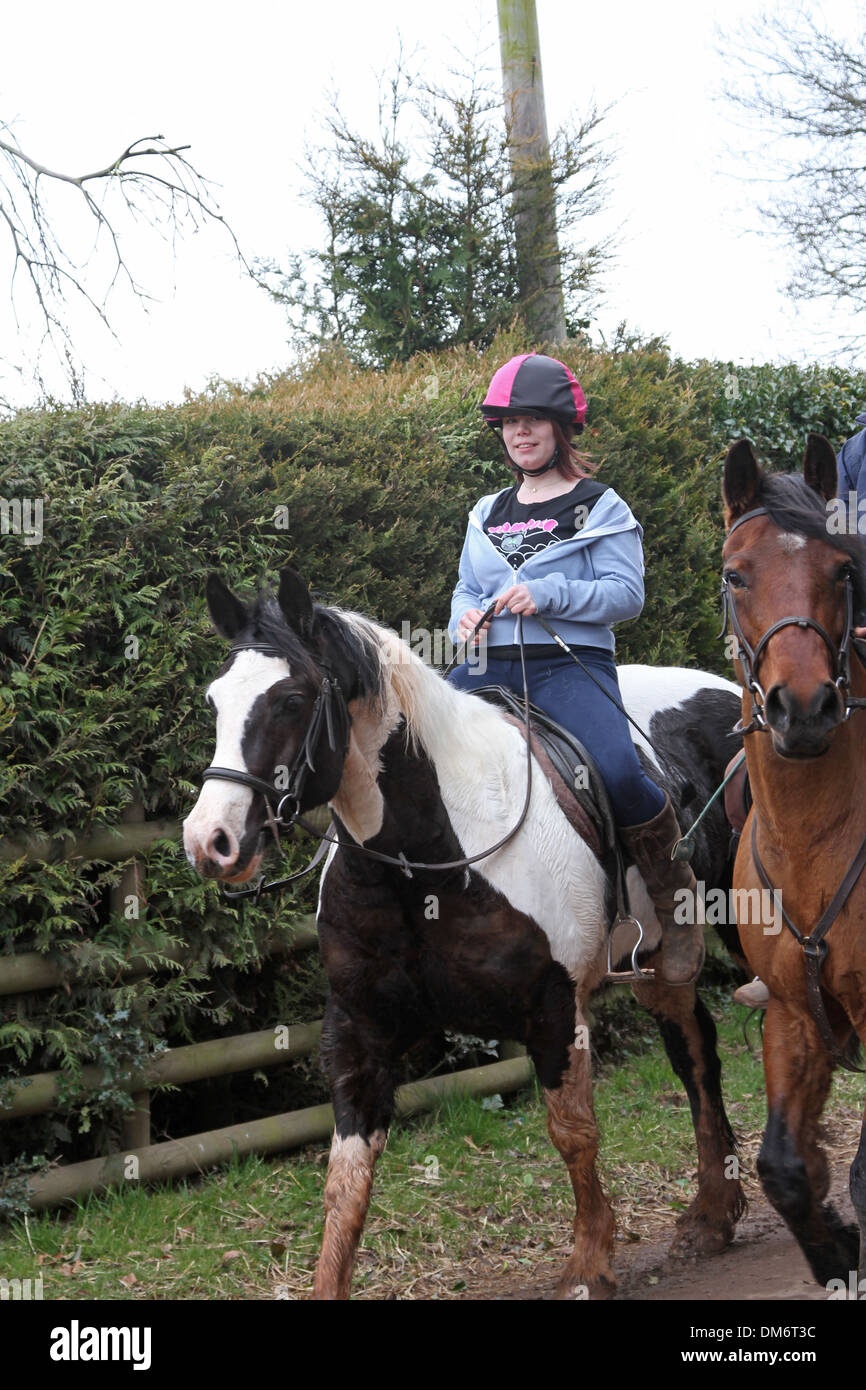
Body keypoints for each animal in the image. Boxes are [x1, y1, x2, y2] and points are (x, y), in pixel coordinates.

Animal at [183, 566, 747, 1299]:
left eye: (291, 700)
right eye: (215, 702)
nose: (210, 841)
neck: (426, 860)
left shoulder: (553, 1009)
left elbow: (574, 1133)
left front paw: (589, 1265)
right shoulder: (359, 1027)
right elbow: (345, 1180)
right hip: (656, 964)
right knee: (695, 1052)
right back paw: (712, 1213)